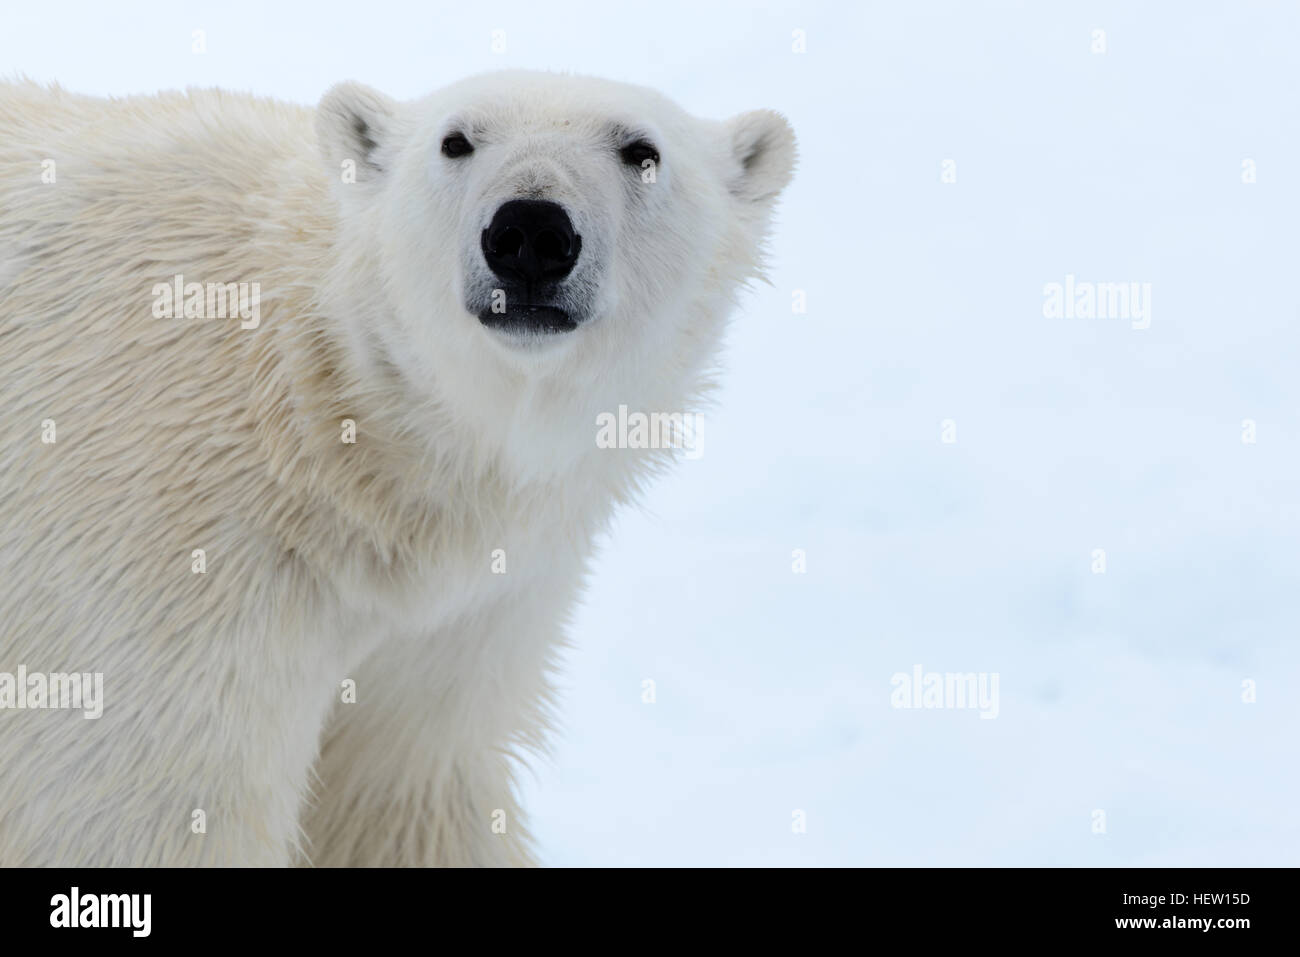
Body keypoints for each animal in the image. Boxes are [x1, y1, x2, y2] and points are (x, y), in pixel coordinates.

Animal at [0, 71, 795, 866]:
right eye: (456, 140)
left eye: (641, 151)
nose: (531, 233)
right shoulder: (173, 562)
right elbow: (146, 811)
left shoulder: (466, 609)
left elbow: (405, 792)